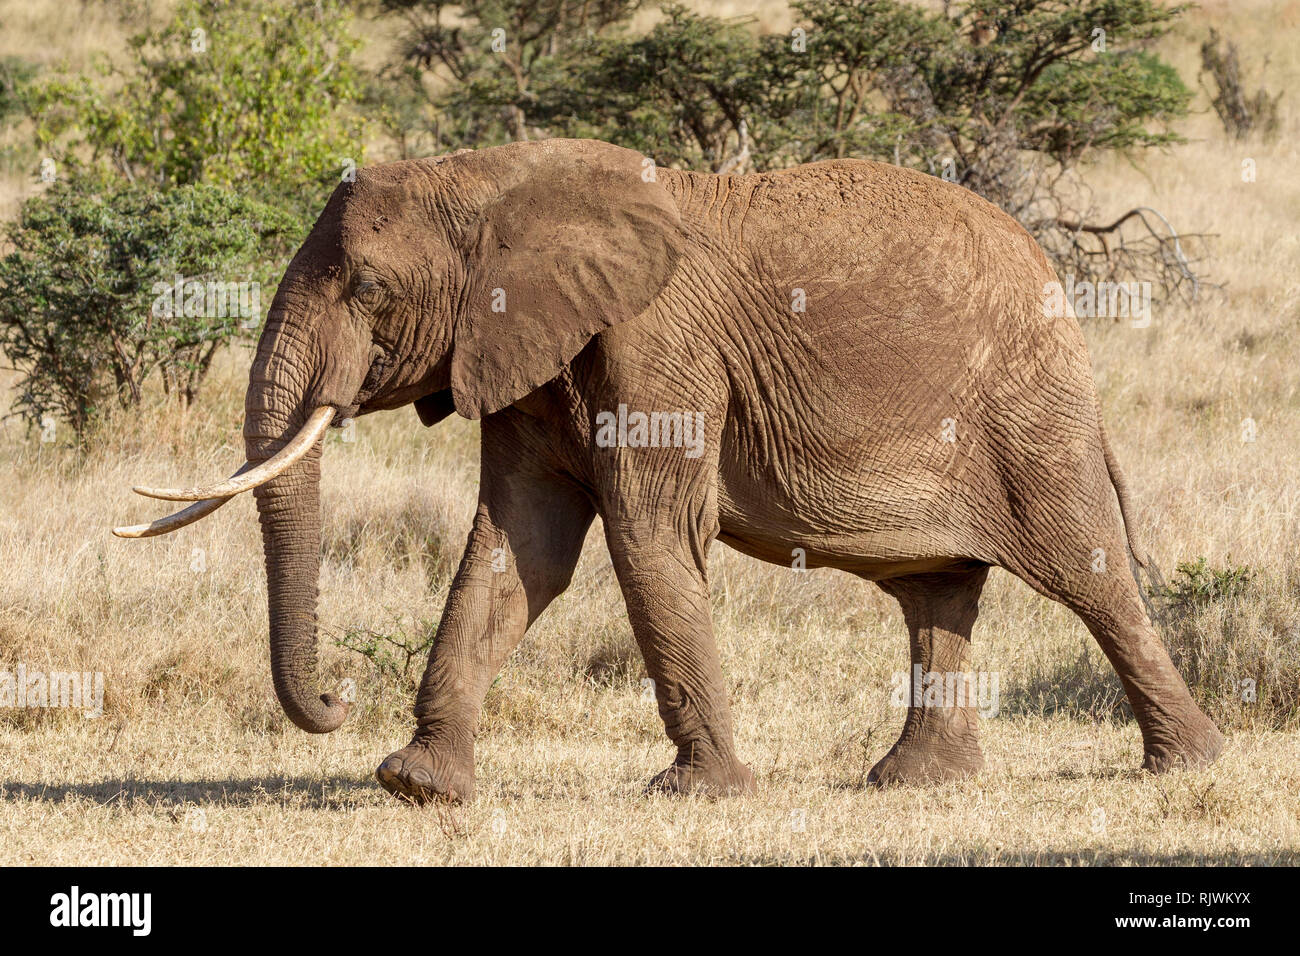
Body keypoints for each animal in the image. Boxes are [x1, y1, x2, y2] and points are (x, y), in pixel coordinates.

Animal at [115, 138, 1224, 803]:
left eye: (369, 288)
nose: (337, 701)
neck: (494, 179)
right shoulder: (526, 356)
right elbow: (518, 551)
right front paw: (418, 785)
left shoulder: (661, 346)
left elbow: (646, 537)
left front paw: (698, 793)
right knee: (935, 589)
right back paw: (912, 784)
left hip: (1029, 408)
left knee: (1086, 569)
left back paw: (1184, 765)